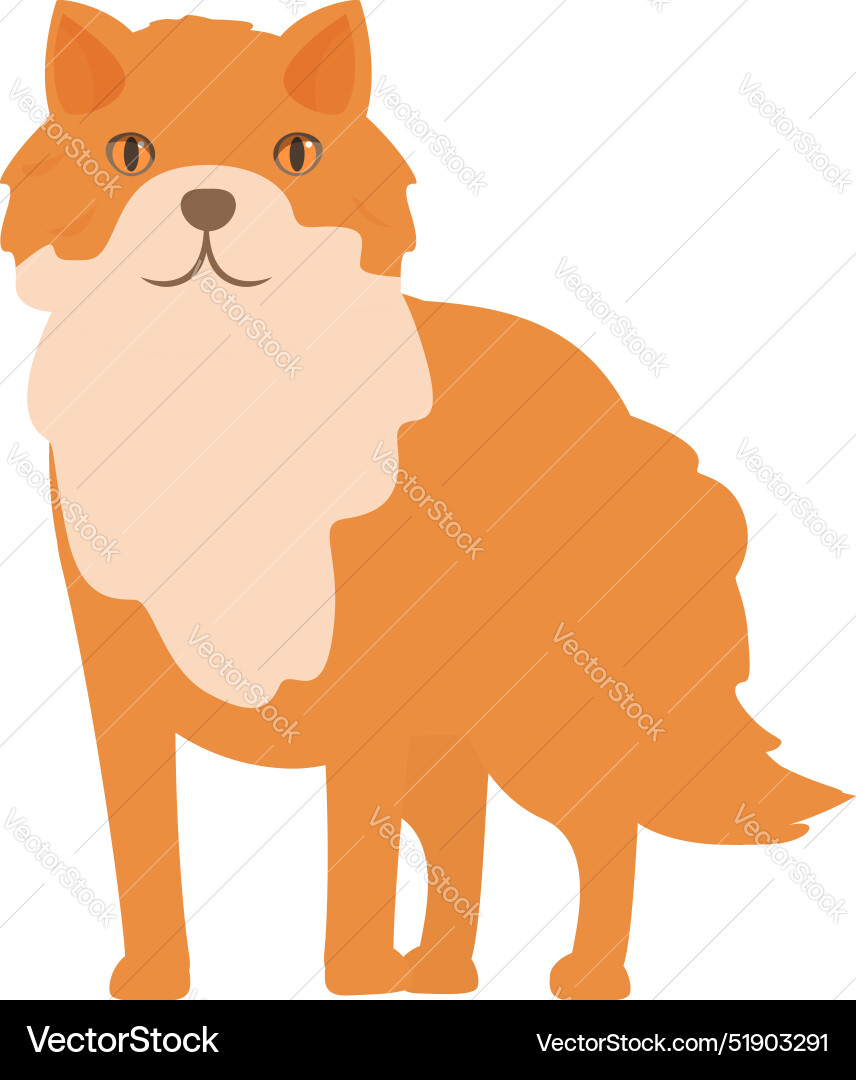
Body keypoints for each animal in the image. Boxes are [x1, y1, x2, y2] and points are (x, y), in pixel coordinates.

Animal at [1, 0, 850, 1001]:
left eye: (295, 154)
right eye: (130, 153)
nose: (208, 200)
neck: (219, 404)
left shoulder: (367, 699)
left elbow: (358, 863)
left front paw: (354, 978)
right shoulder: (125, 689)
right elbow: (147, 853)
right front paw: (154, 981)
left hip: (536, 726)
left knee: (604, 829)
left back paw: (583, 978)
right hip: (462, 733)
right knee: (468, 834)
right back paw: (445, 973)